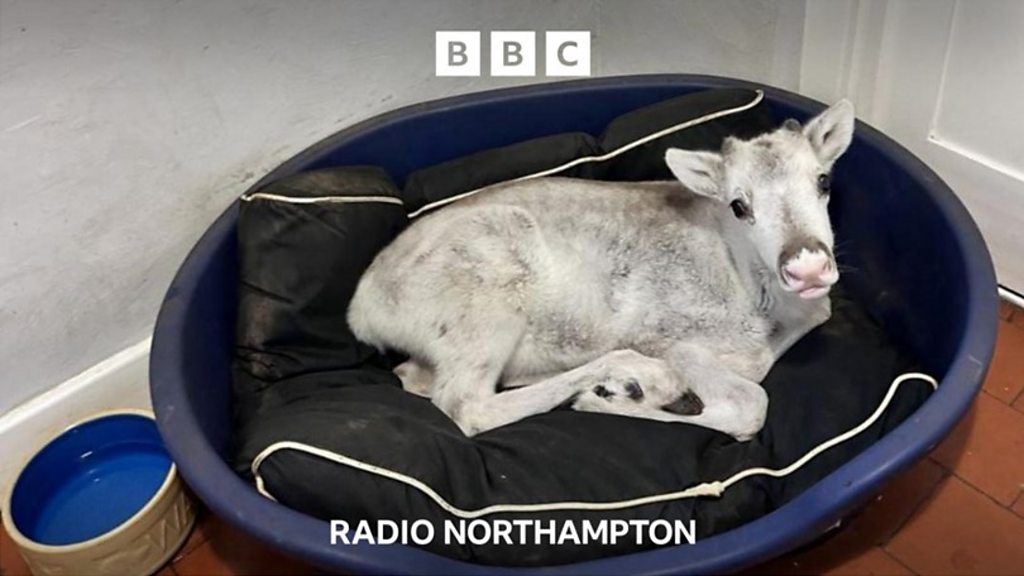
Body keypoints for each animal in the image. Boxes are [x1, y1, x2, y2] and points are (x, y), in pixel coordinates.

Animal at [347, 100, 855, 441]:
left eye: (823, 180)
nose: (808, 266)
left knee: (419, 379)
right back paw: (630, 380)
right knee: (465, 405)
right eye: (737, 204)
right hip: (484, 304)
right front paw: (605, 399)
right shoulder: (672, 339)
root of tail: (361, 311)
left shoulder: (813, 315)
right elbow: (752, 403)